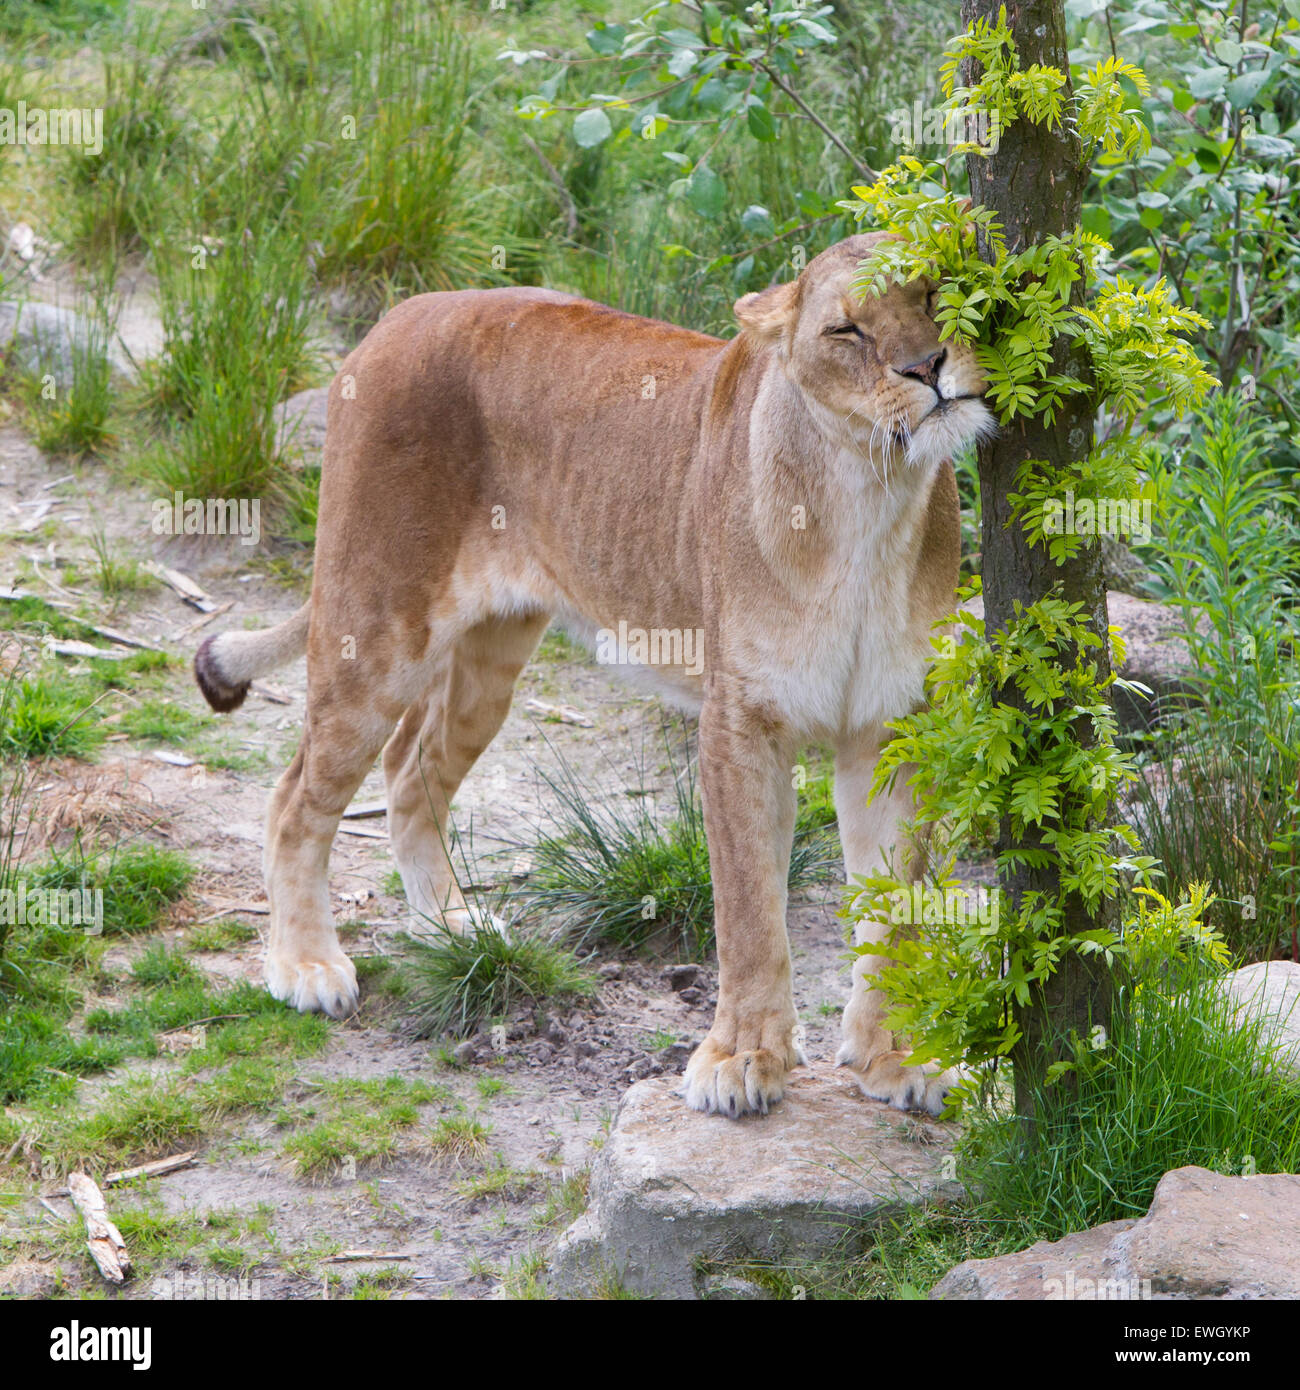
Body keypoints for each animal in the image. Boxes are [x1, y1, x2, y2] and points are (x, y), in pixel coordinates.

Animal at [194, 232, 994, 1119]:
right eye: (846, 330)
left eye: (937, 291)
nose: (927, 367)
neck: (869, 494)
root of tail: (399, 314)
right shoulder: (739, 727)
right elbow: (750, 911)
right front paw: (741, 1060)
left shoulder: (894, 725)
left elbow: (898, 914)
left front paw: (900, 1057)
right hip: (374, 629)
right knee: (294, 797)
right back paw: (305, 965)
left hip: (491, 655)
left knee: (408, 769)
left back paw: (450, 925)